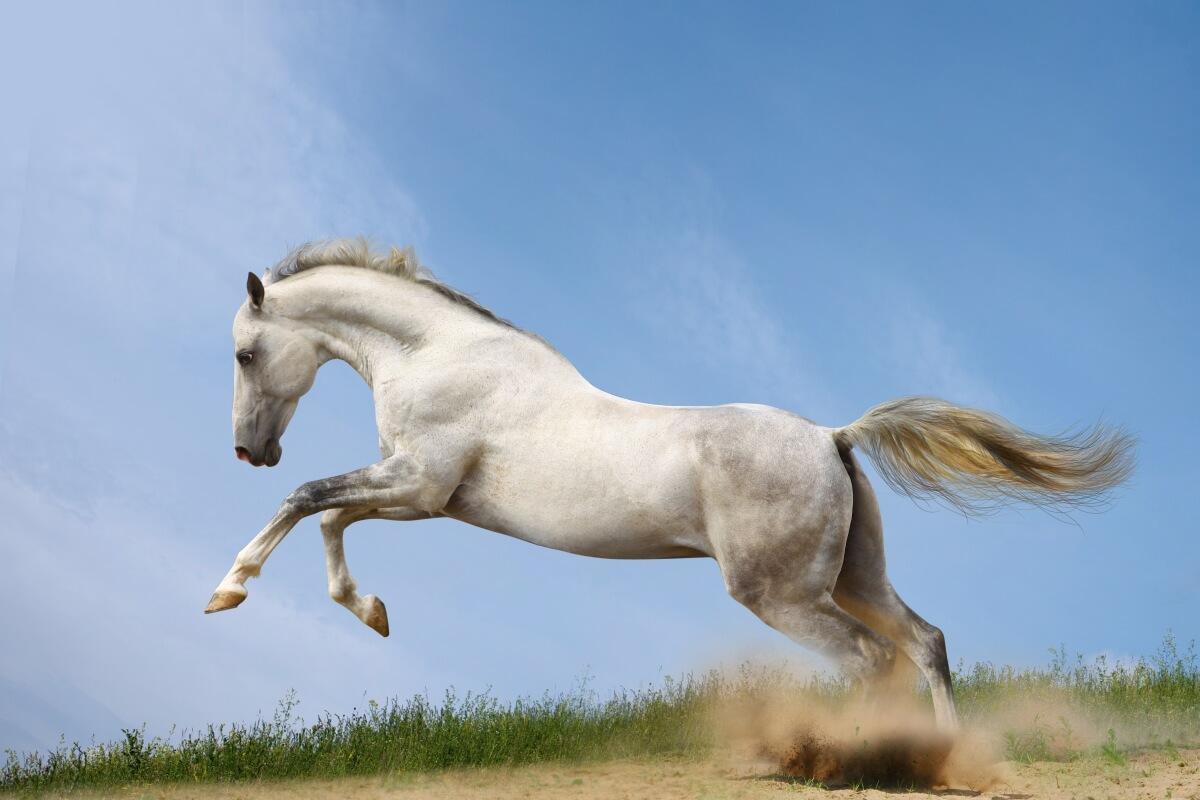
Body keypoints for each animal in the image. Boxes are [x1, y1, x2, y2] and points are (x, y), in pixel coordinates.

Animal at [208, 238, 1133, 731]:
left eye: (246, 354)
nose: (250, 451)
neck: (439, 357)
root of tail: (833, 437)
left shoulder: (418, 485)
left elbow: (307, 502)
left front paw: (228, 592)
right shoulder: (420, 498)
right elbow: (330, 520)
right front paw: (372, 613)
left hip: (782, 595)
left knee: (872, 661)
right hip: (854, 577)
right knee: (925, 643)